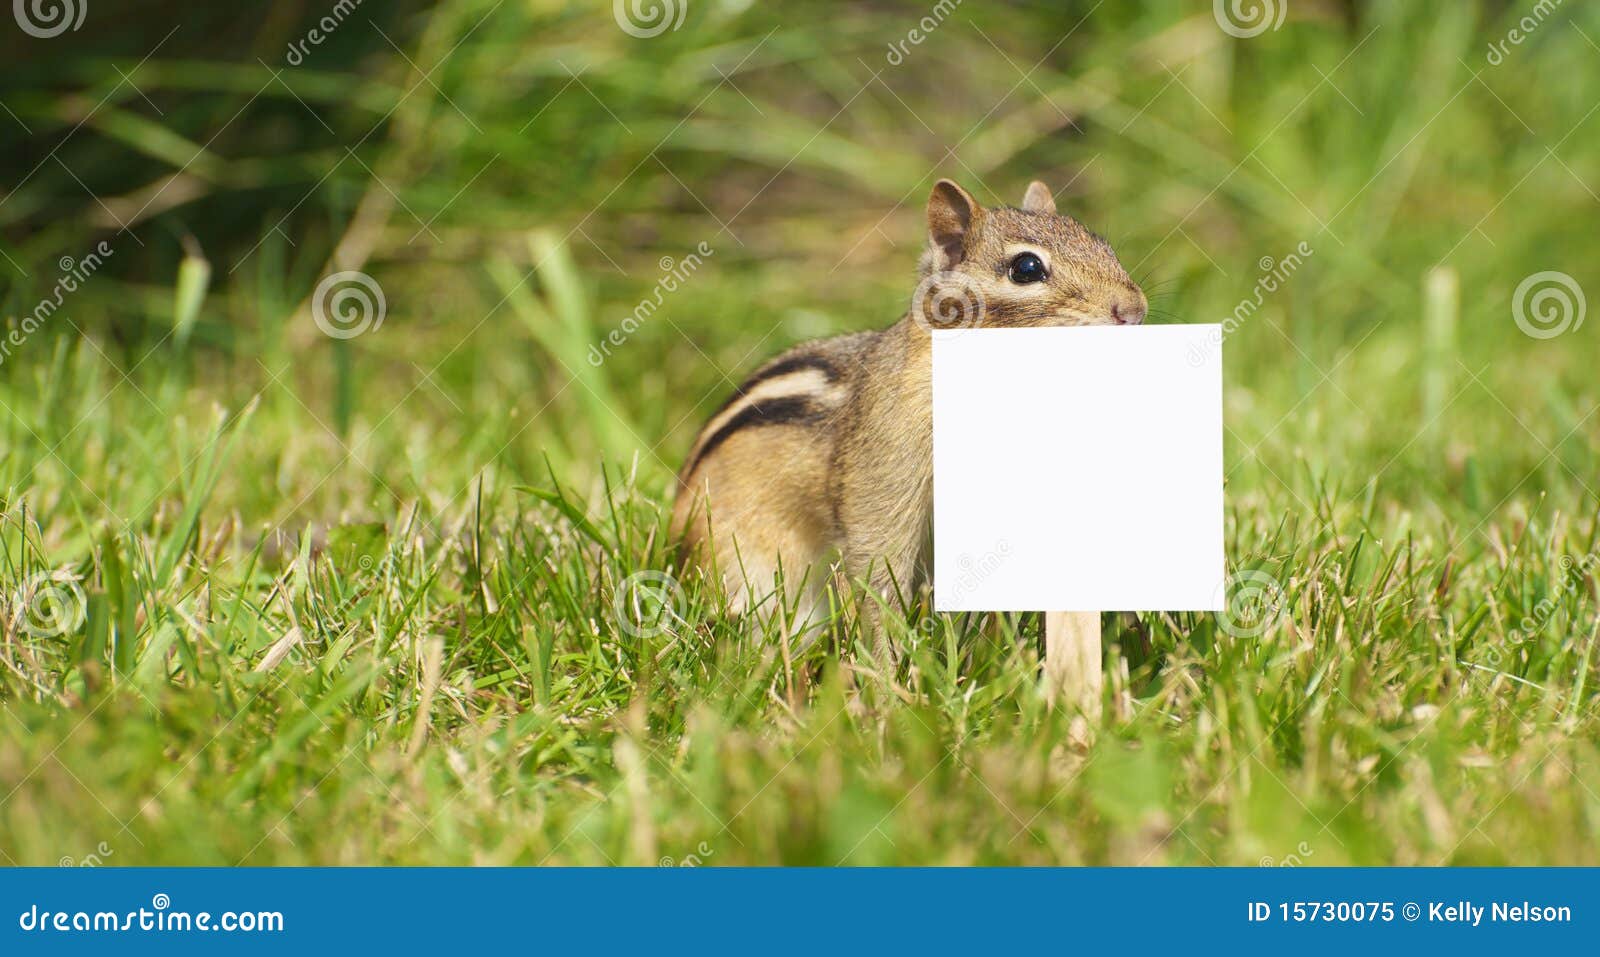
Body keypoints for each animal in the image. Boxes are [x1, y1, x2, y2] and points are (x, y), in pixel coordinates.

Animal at [671, 178, 1147, 647]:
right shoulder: (885, 475)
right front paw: (887, 664)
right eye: (1026, 269)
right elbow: (879, 568)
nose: (1133, 311)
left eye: (1101, 243)